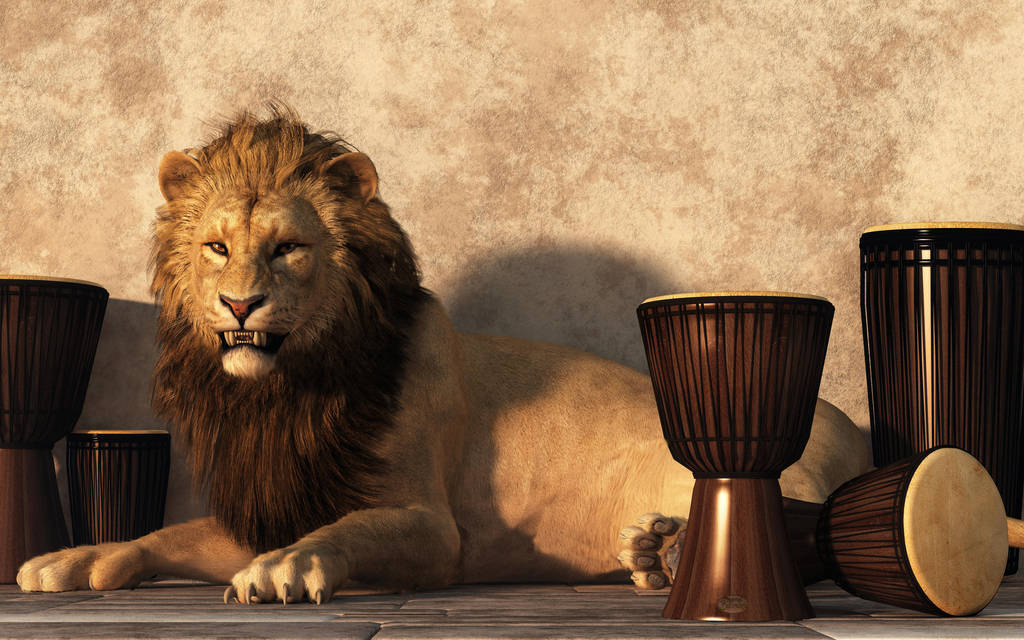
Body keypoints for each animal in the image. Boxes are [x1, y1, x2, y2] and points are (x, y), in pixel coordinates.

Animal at [17, 108, 871, 603]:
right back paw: (654, 550)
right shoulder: (273, 502)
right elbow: (164, 536)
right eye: (217, 248)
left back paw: (670, 551)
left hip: (790, 470)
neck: (287, 393)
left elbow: (348, 531)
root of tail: (855, 427)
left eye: (288, 249)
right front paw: (74, 559)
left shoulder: (434, 532)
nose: (239, 305)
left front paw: (282, 569)